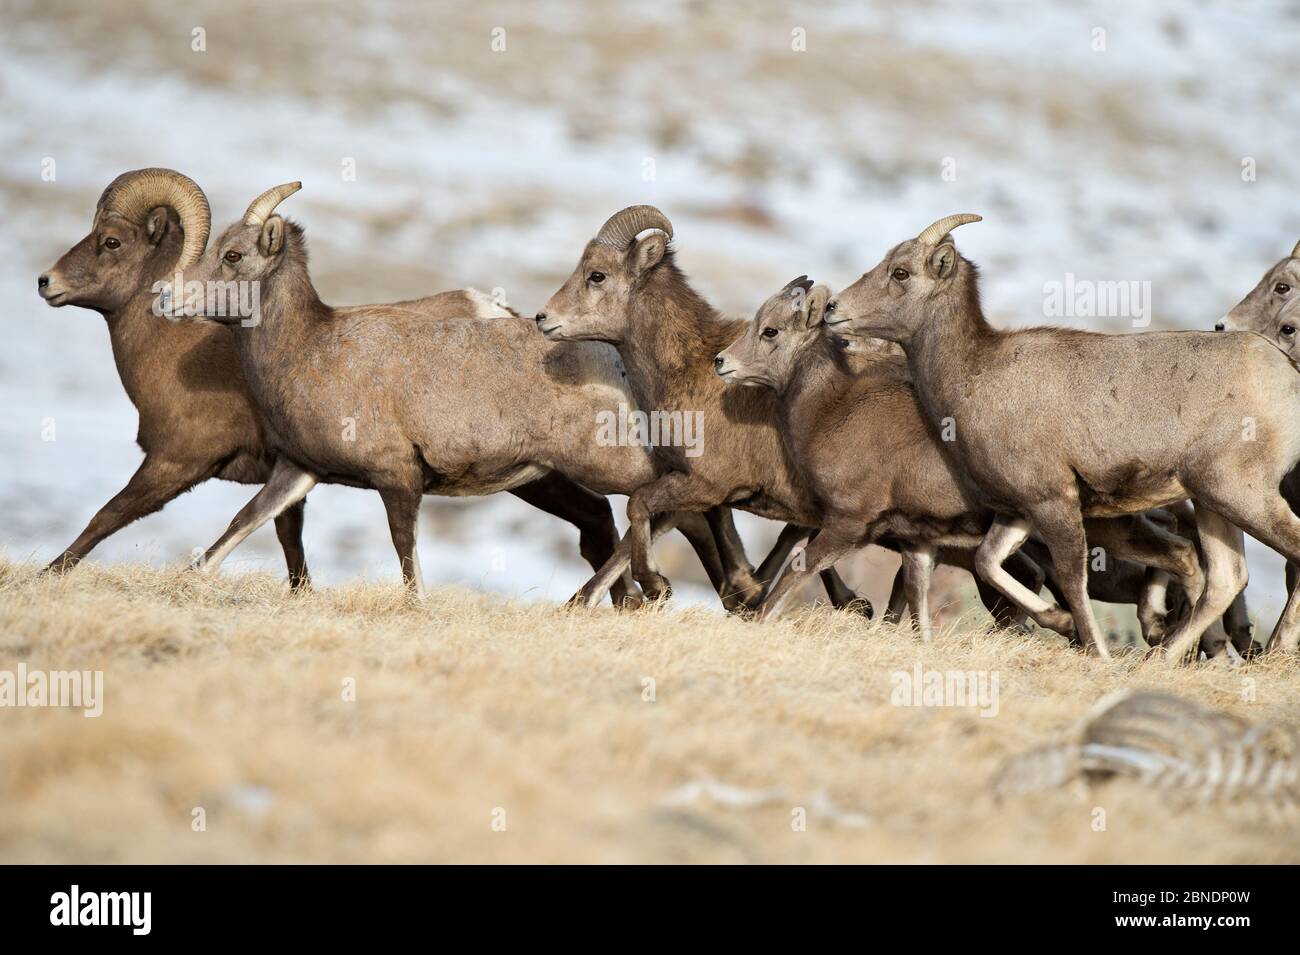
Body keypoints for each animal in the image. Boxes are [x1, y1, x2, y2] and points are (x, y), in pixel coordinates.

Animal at [167, 183, 763, 610]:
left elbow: (405, 552)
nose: (167, 298)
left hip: (611, 466)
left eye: (233, 255)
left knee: (677, 509)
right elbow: (240, 524)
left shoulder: (397, 477)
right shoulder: (299, 471)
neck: (307, 349)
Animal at [715, 277, 1216, 644]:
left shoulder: (847, 522)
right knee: (1180, 553)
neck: (832, 411)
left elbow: (797, 570)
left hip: (1096, 528)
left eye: (771, 330)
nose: (722, 362)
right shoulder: (917, 542)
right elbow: (916, 609)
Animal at [825, 213, 1300, 660]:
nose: (832, 309)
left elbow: (1072, 580)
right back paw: (1159, 660)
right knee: (1226, 579)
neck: (976, 376)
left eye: (901, 273)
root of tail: (1286, 378)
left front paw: (1094, 649)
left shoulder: (1054, 501)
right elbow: (988, 562)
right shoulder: (1018, 510)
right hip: (1211, 503)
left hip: (1242, 497)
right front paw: (1059, 622)